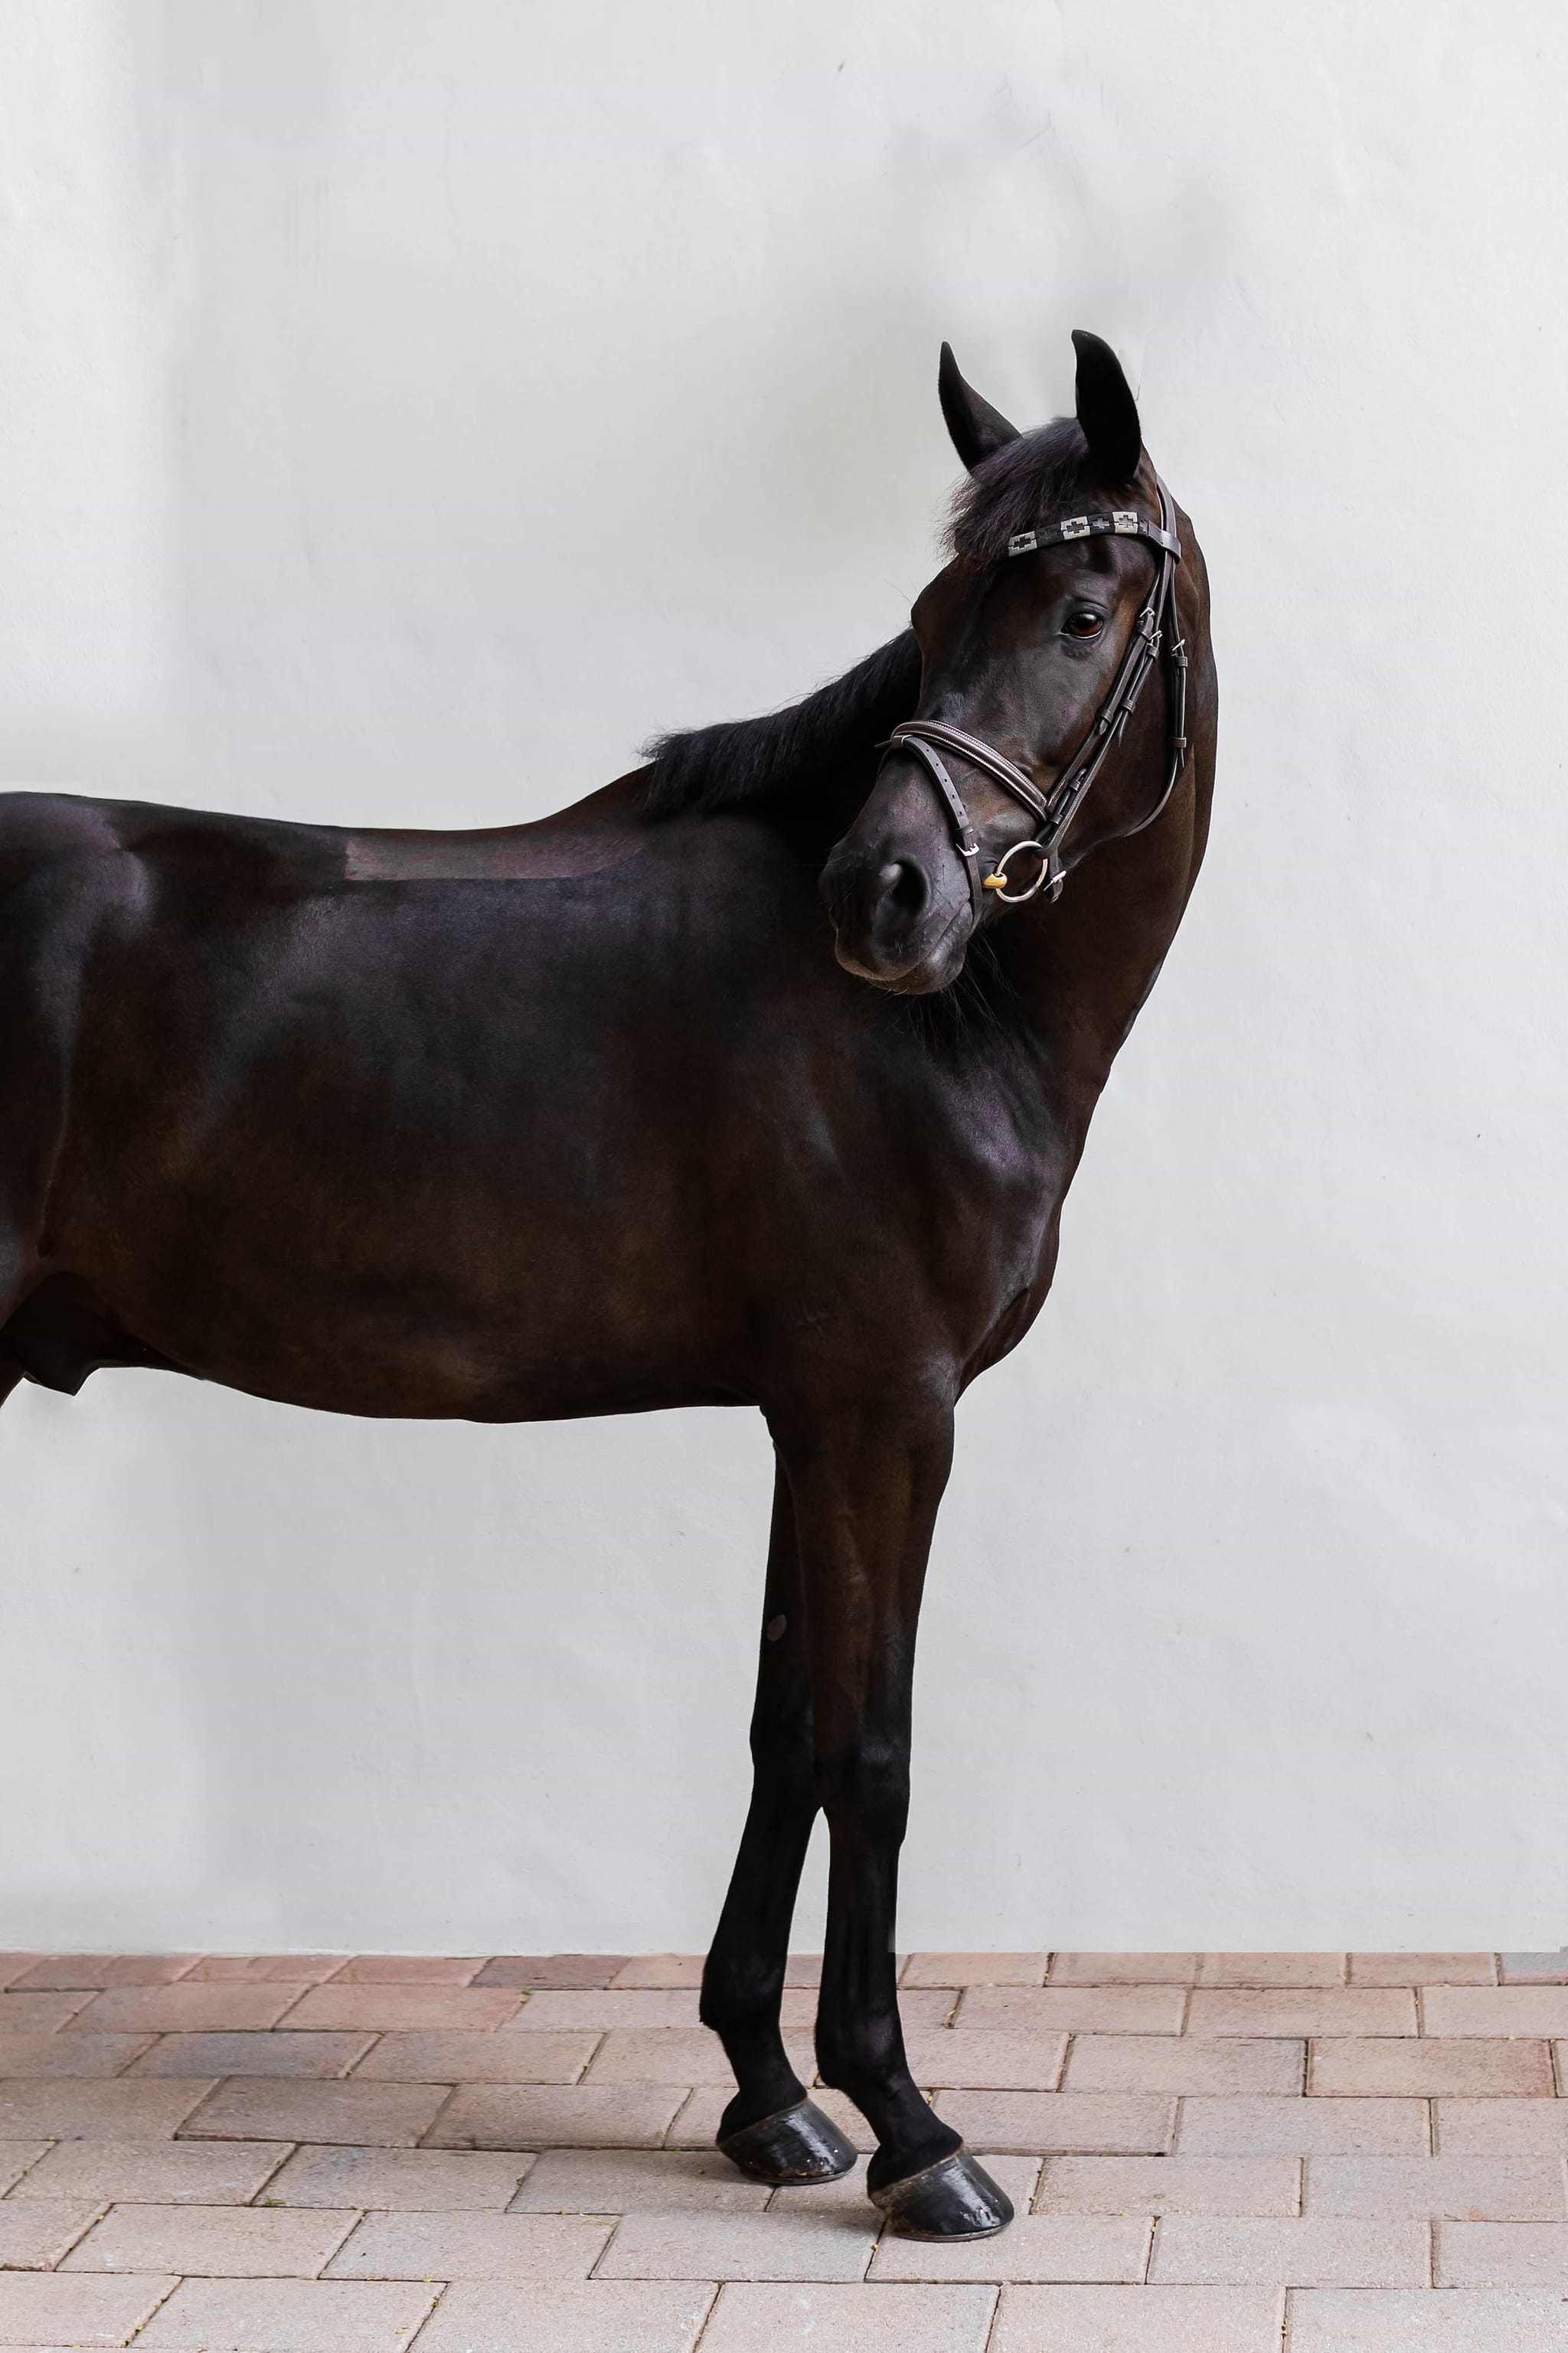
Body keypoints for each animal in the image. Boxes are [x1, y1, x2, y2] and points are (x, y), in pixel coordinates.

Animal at [0, 328, 1215, 2240]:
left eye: (1081, 611)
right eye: (933, 612)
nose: (886, 892)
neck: (944, 1022)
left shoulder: (814, 1413)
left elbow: (785, 1728)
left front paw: (772, 2100)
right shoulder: (892, 1410)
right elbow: (871, 1749)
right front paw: (912, 2129)